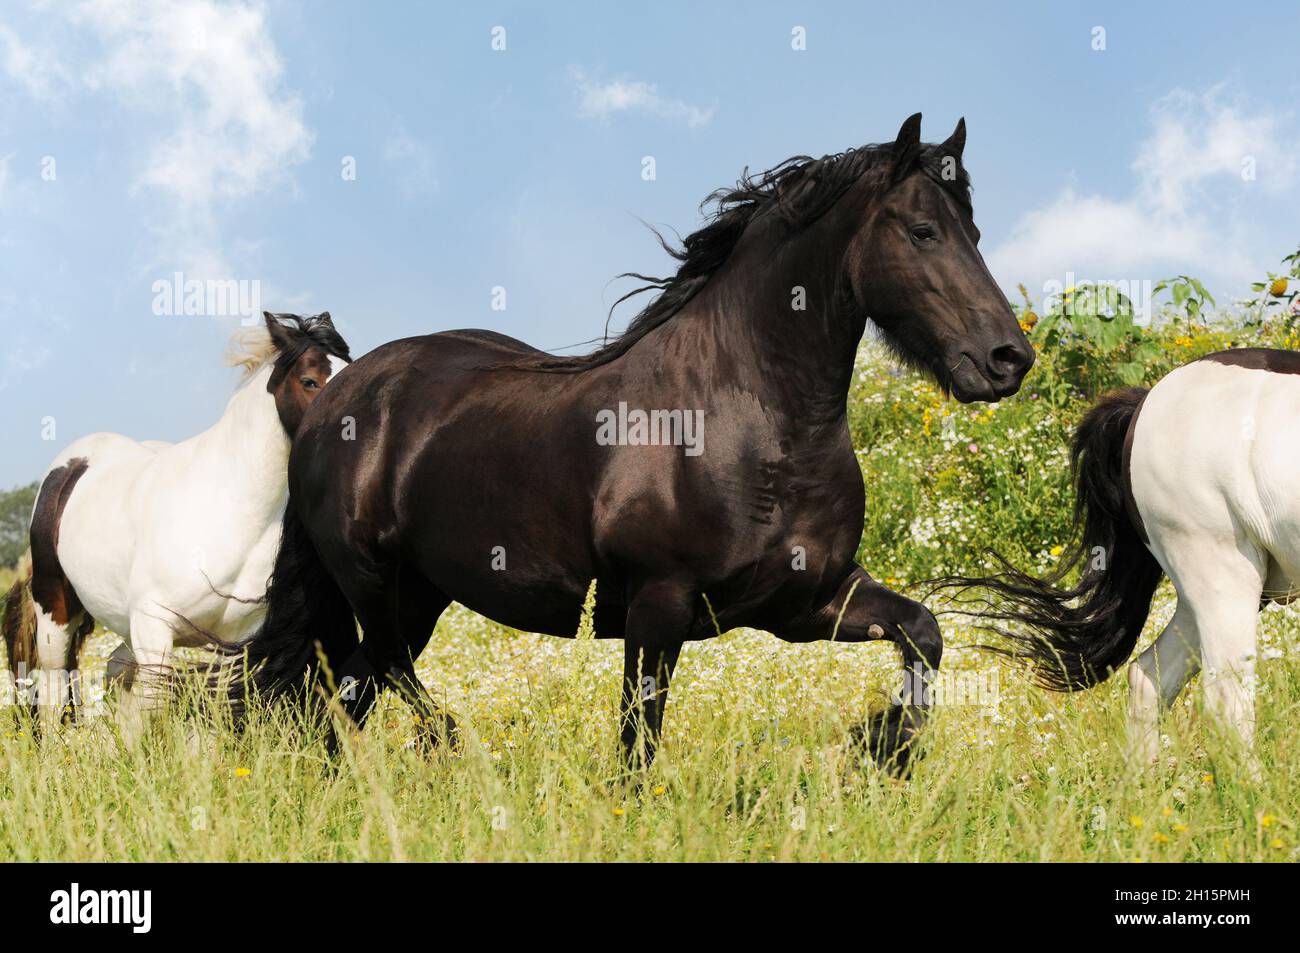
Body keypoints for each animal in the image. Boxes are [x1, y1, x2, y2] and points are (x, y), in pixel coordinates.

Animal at [1, 312, 351, 739]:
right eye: (310, 380)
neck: (225, 508)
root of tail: (72, 465)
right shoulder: (154, 627)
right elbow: (154, 706)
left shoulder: (233, 641)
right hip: (56, 608)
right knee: (53, 685)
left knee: (116, 668)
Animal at [208, 114, 1033, 774]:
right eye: (923, 231)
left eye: (974, 231)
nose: (1007, 359)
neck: (752, 425)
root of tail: (336, 402)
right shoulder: (659, 602)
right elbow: (638, 742)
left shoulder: (805, 601)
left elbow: (923, 632)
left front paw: (884, 746)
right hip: (375, 584)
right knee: (370, 677)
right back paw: (448, 747)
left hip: (421, 592)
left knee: (348, 691)